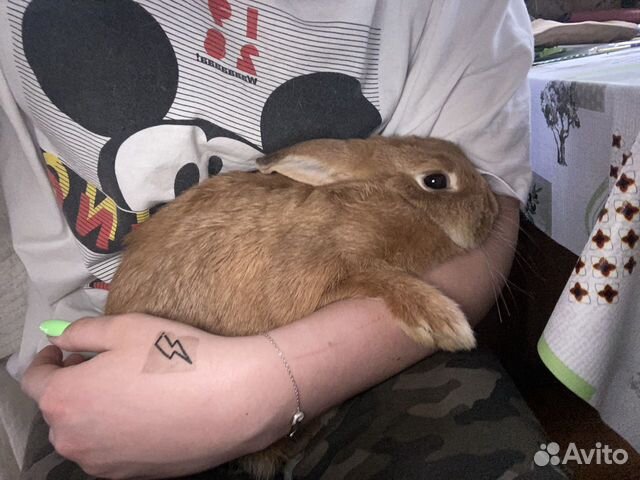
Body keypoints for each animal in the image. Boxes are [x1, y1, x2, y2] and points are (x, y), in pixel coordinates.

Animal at [105, 135, 499, 479]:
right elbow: (383, 280)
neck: (379, 199)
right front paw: (446, 324)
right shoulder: (334, 271)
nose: (493, 207)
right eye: (435, 180)